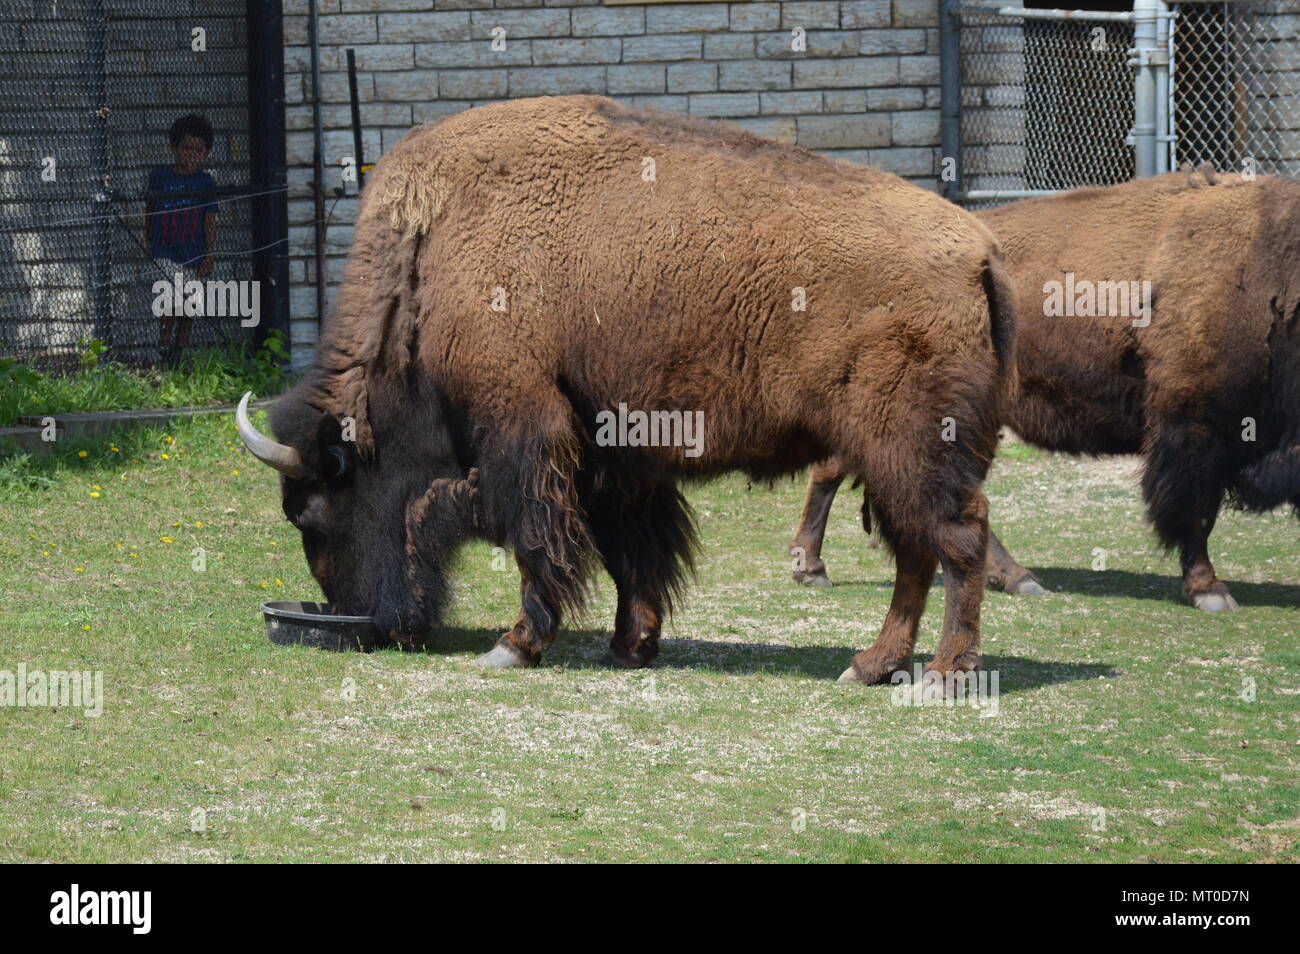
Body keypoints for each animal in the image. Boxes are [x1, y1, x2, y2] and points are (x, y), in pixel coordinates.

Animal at [237, 95, 1015, 685]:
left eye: (311, 513)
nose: (366, 623)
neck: (430, 258)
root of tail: (979, 251)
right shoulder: (610, 455)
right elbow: (629, 551)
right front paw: (631, 644)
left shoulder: (525, 428)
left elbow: (538, 537)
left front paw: (514, 645)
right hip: (889, 462)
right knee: (918, 551)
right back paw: (872, 665)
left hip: (907, 450)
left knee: (957, 536)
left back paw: (943, 672)